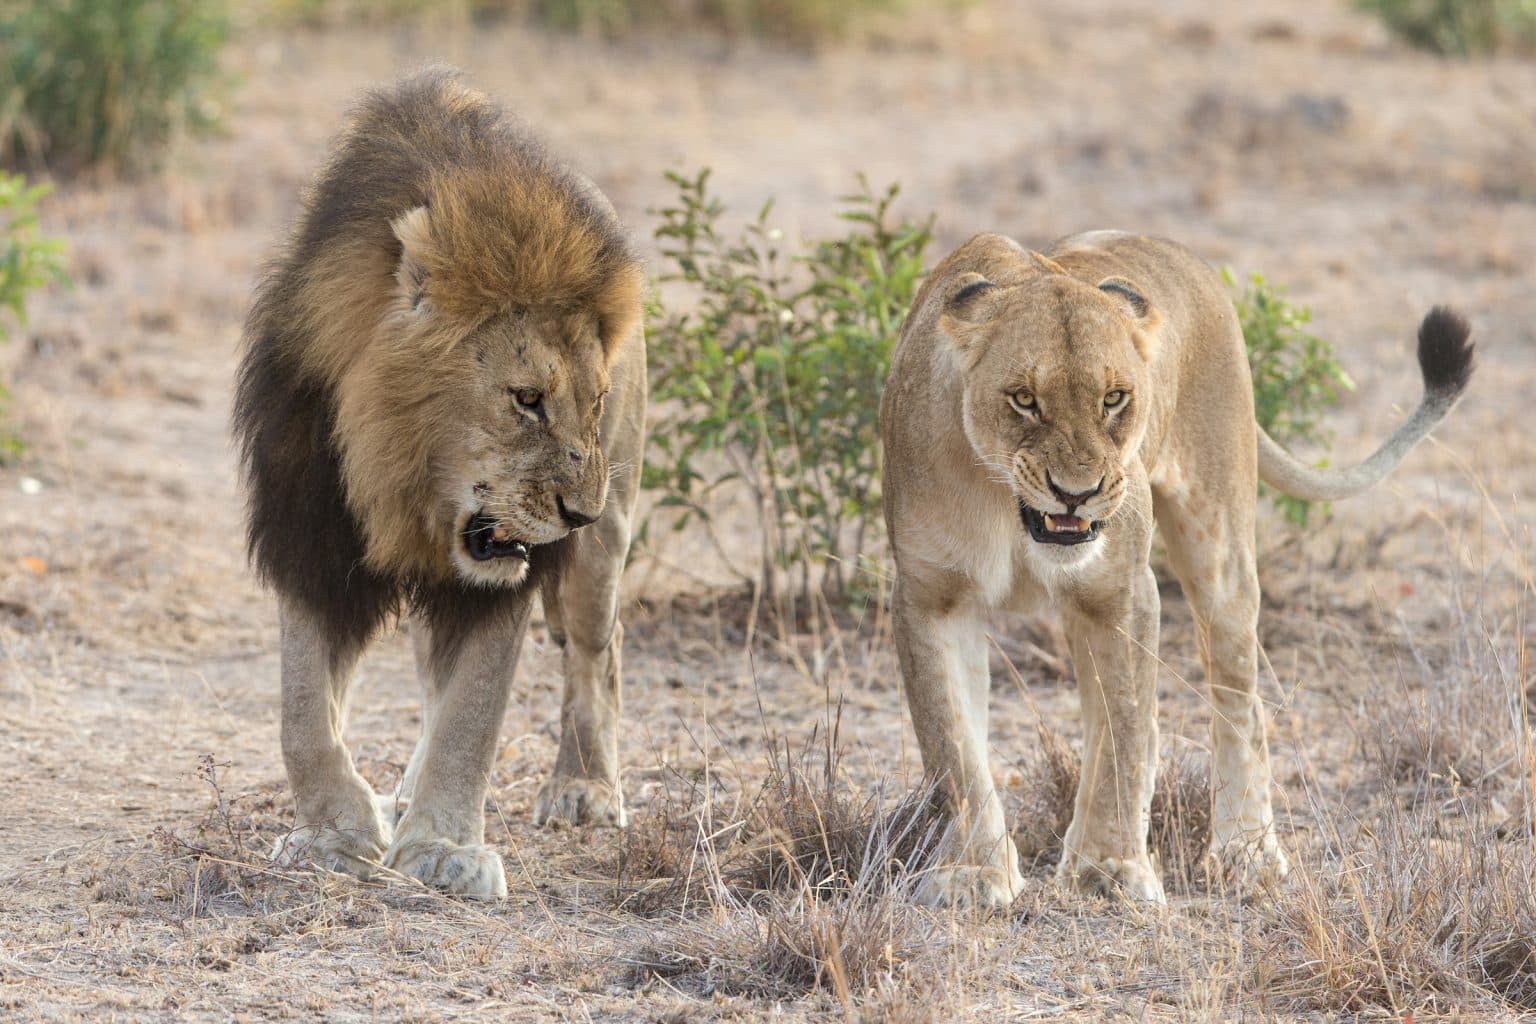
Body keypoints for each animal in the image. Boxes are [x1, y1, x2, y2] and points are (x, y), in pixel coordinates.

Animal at [232, 67, 647, 900]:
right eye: (527, 398)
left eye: (592, 402)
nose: (576, 513)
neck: (399, 479)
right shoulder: (310, 535)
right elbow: (301, 712)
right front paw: (334, 833)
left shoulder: (502, 579)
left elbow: (474, 716)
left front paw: (447, 847)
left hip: (605, 546)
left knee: (596, 654)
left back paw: (584, 788)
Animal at [881, 231, 1473, 910]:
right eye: (1024, 400)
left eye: (1114, 398)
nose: (1077, 495)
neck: (1006, 503)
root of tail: (1179, 252)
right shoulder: (931, 595)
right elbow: (954, 749)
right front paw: (974, 872)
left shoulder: (1121, 590)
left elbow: (1122, 732)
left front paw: (1110, 870)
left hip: (1219, 543)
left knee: (1239, 699)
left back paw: (1247, 852)